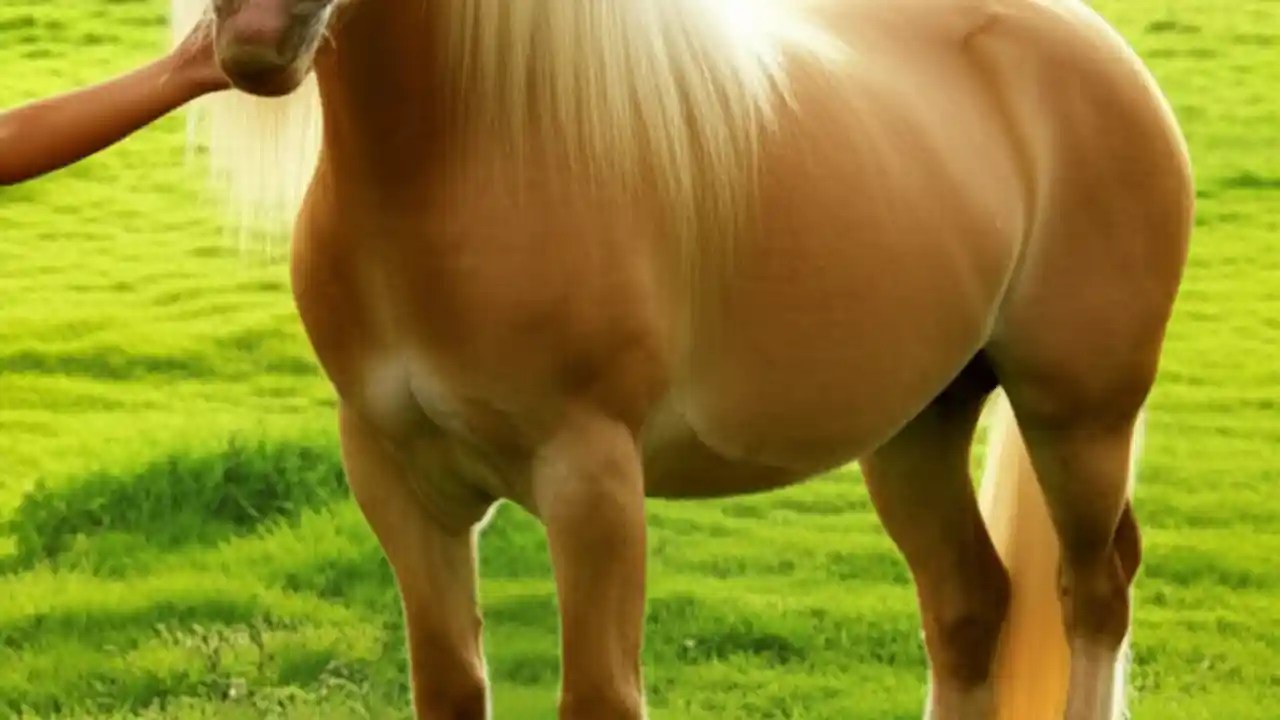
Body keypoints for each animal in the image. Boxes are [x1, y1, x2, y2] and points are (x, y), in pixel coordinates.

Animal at [171, 0, 1193, 717]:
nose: (257, 34)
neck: (470, 150)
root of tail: (1096, 48)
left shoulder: (590, 480)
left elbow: (598, 697)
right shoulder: (399, 483)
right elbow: (452, 690)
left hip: (1078, 415)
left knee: (1094, 594)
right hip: (917, 430)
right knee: (969, 604)